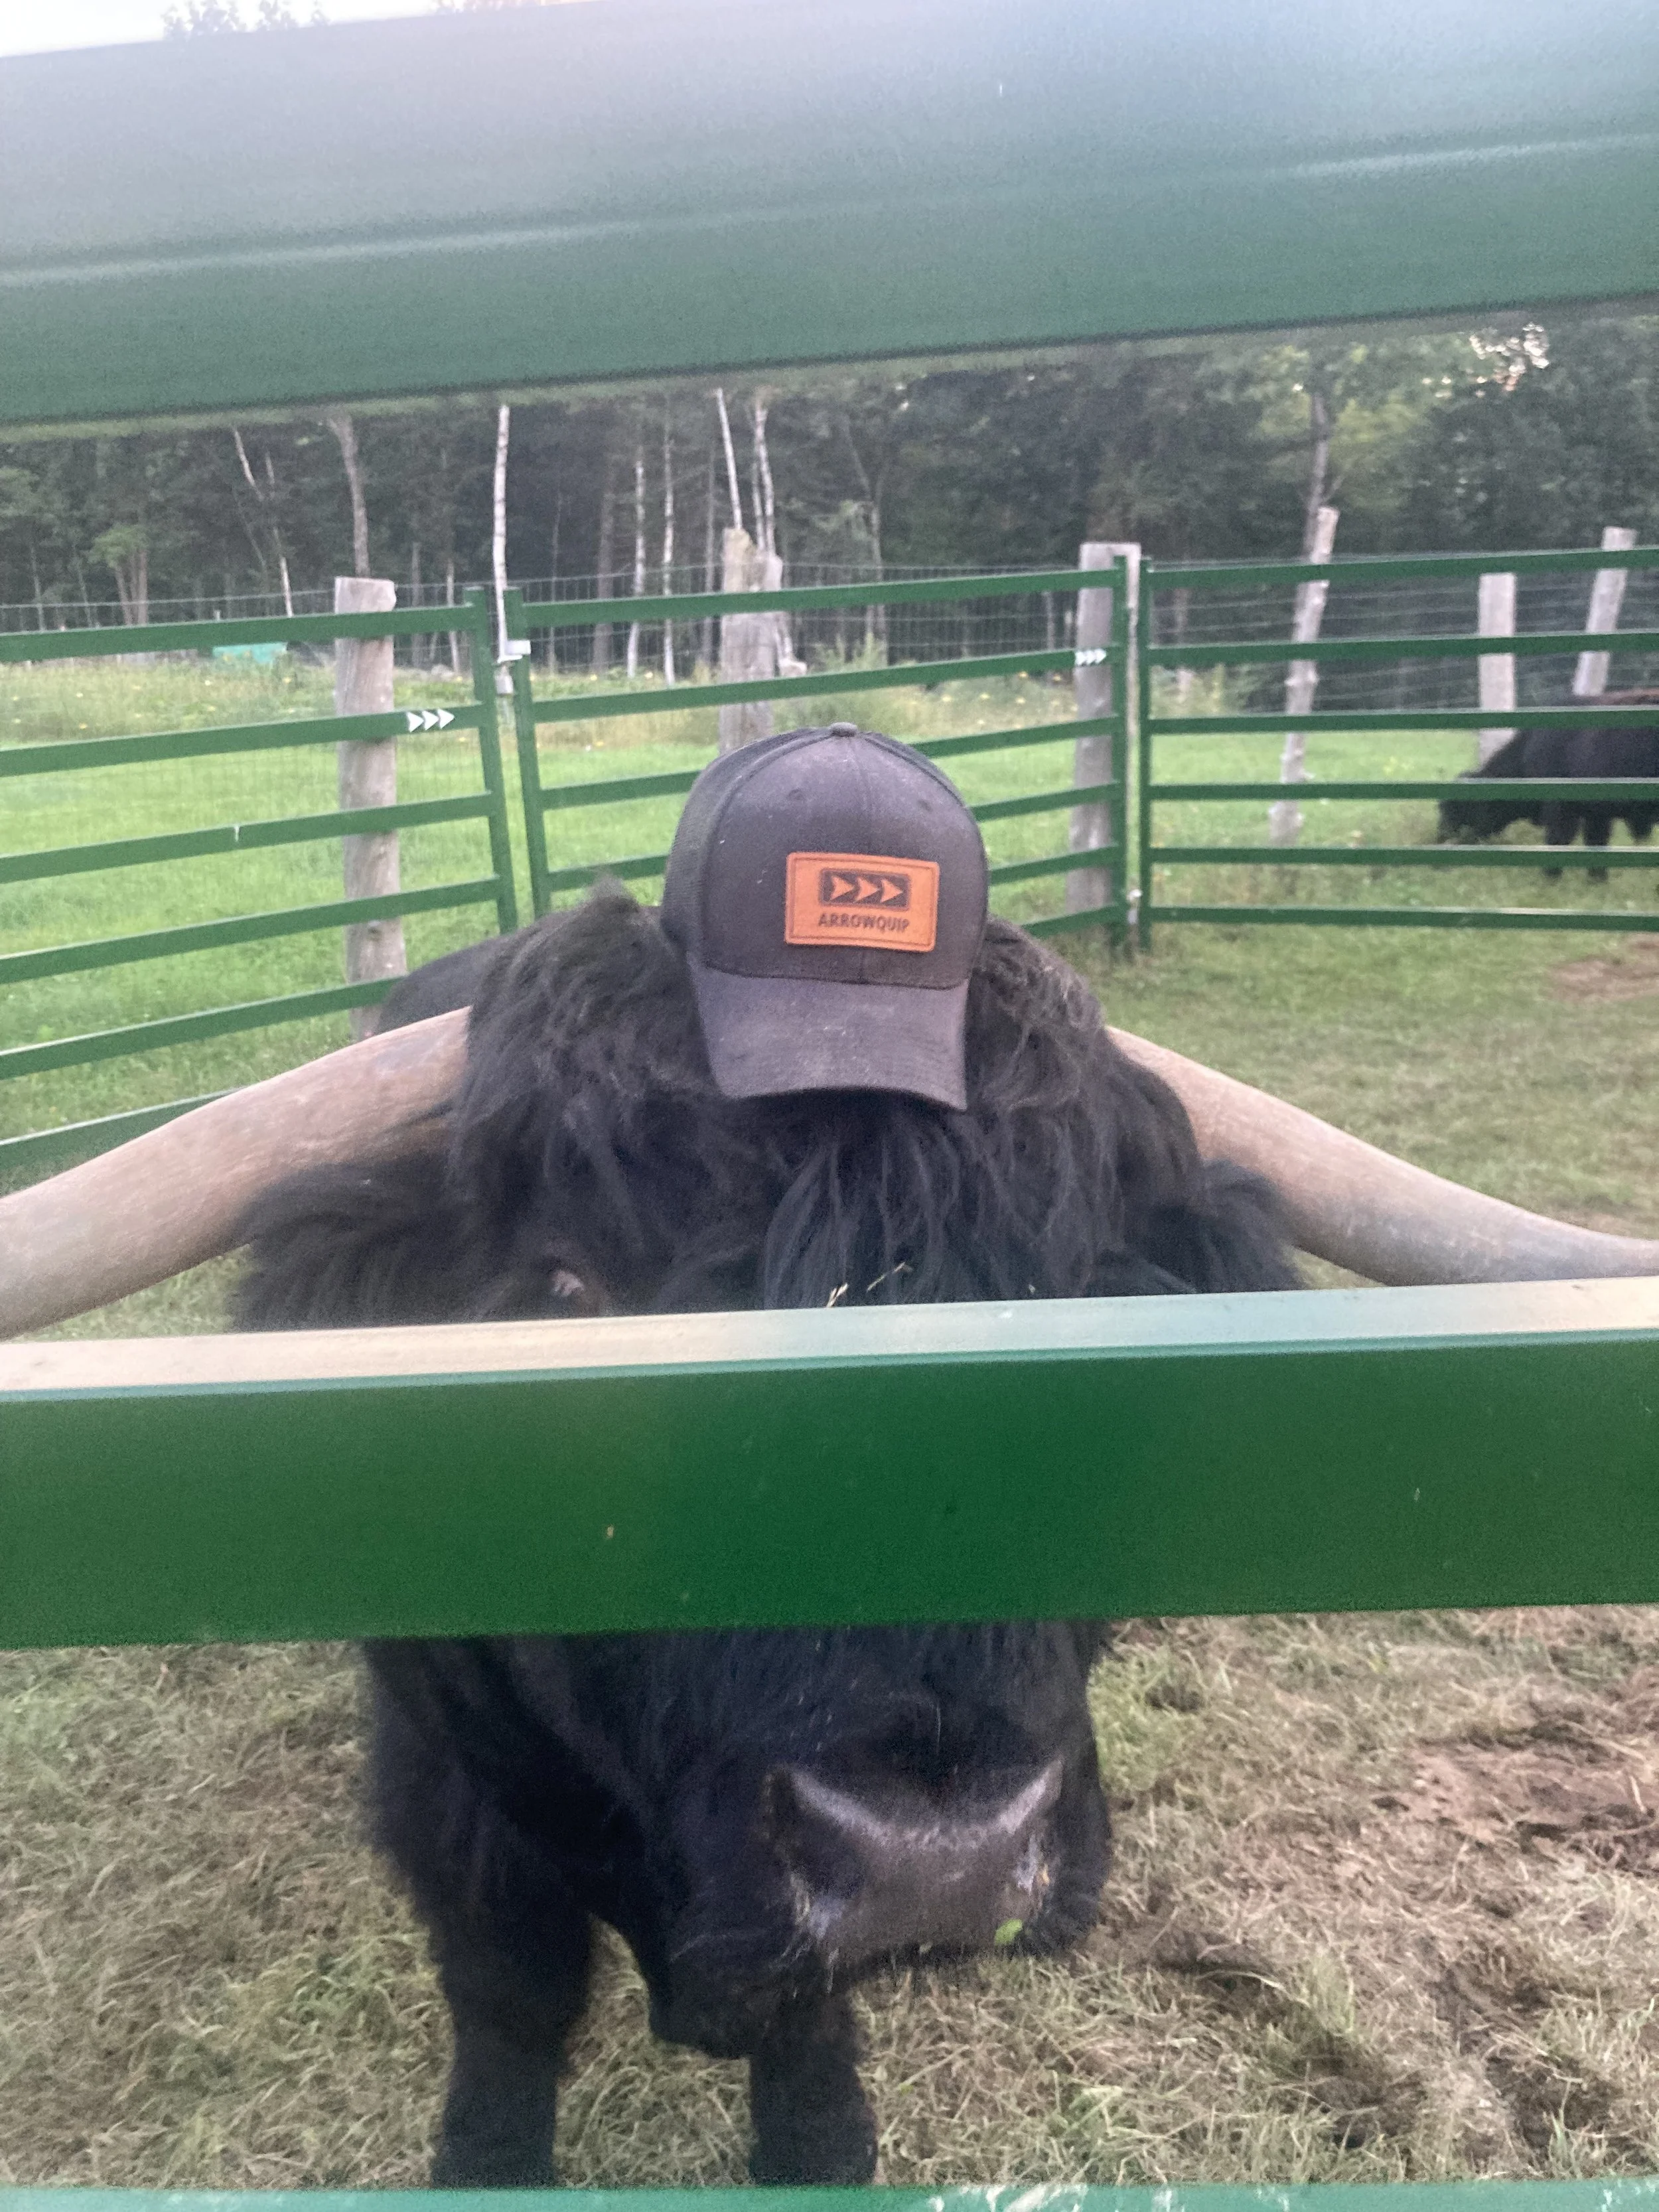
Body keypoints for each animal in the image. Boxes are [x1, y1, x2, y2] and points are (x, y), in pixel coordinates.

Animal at [234, 726, 1299, 2187]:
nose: (938, 1857)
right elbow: (509, 1992)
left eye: (1089, 1290)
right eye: (566, 1286)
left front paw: (822, 2134)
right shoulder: (454, 1792)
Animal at [1437, 724, 1659, 879]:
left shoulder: (1560, 808)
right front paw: (1597, 880)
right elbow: (1596, 842)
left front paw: (1550, 878)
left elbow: (1559, 839)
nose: (1441, 838)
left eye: (1457, 809)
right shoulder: (1596, 814)